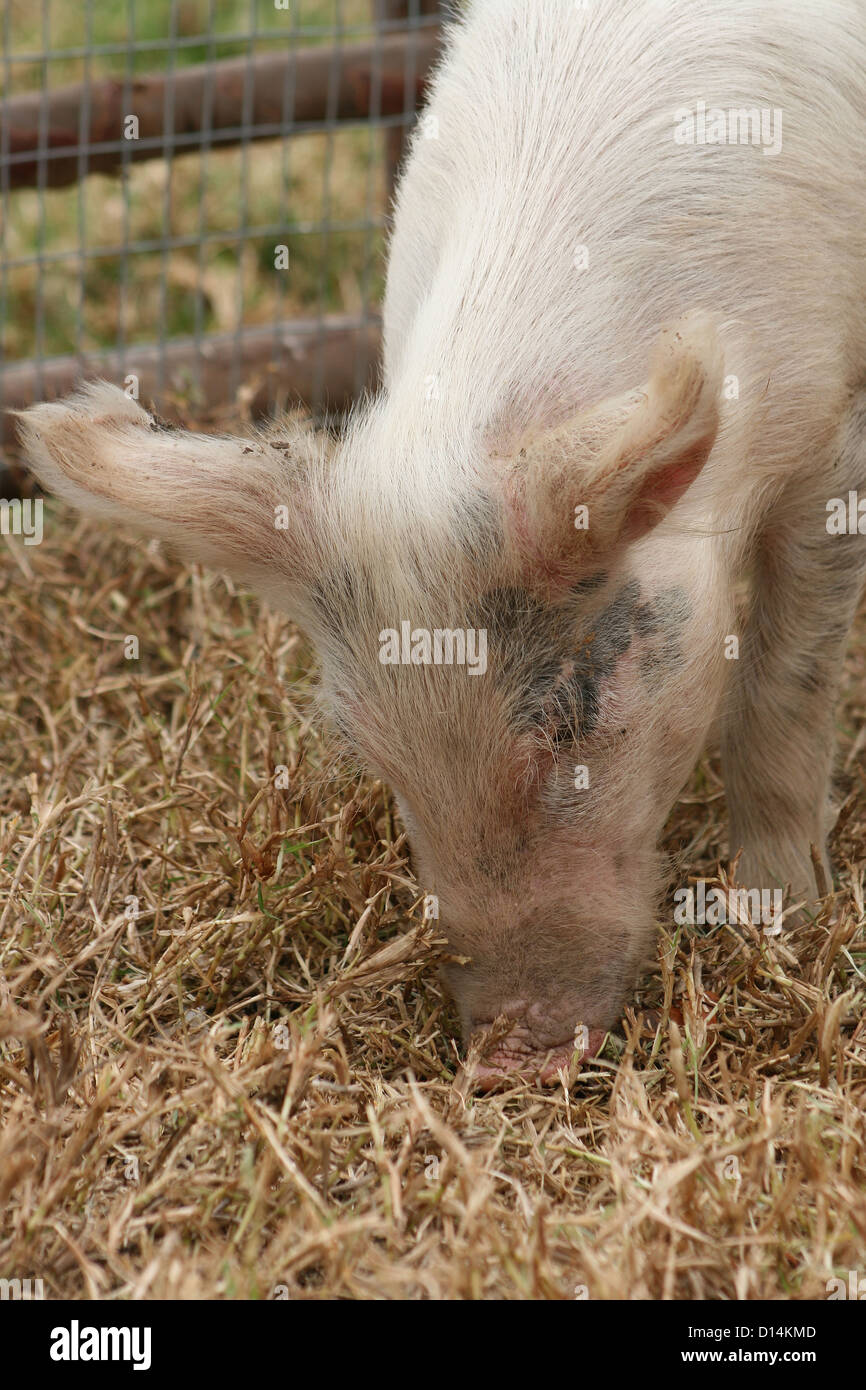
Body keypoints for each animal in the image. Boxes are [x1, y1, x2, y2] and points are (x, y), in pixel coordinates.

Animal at [16, 0, 866, 1087]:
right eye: (371, 748)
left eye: (567, 719)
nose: (507, 1060)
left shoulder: (827, 431)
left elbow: (782, 692)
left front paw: (783, 915)